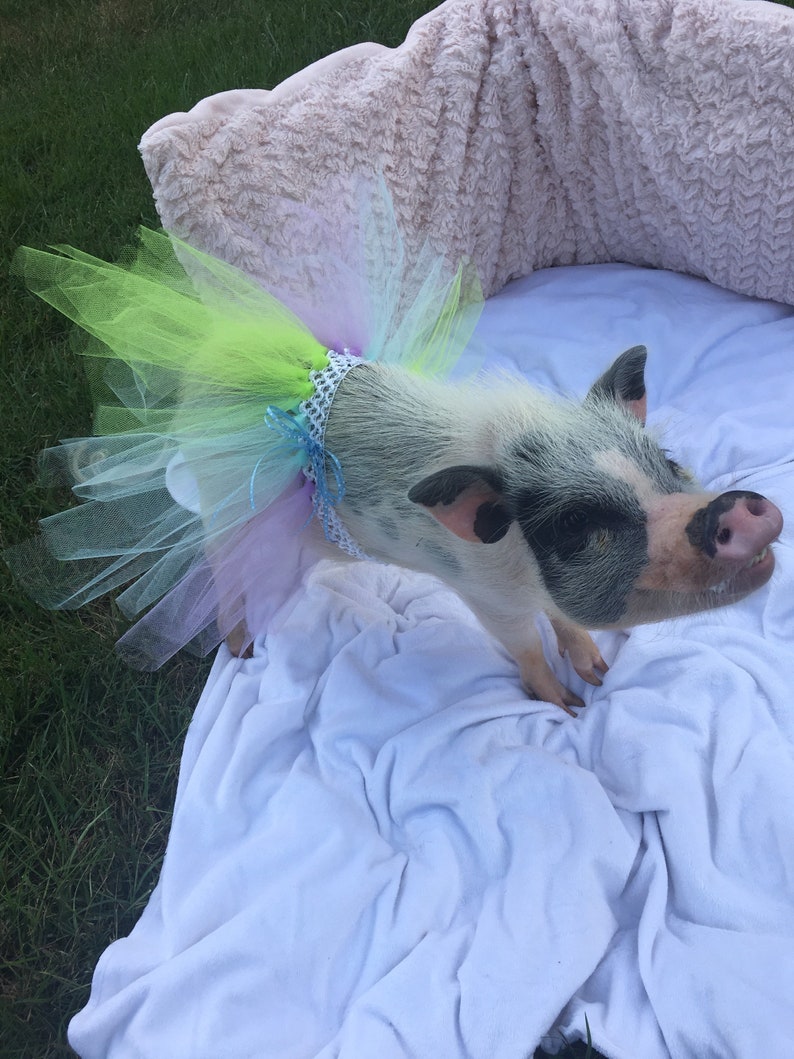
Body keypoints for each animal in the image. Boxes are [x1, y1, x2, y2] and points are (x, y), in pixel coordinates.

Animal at [319, 345, 783, 714]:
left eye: (668, 464)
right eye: (575, 521)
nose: (734, 508)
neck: (527, 577)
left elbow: (561, 619)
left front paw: (598, 672)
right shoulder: (485, 595)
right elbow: (525, 646)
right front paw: (571, 706)